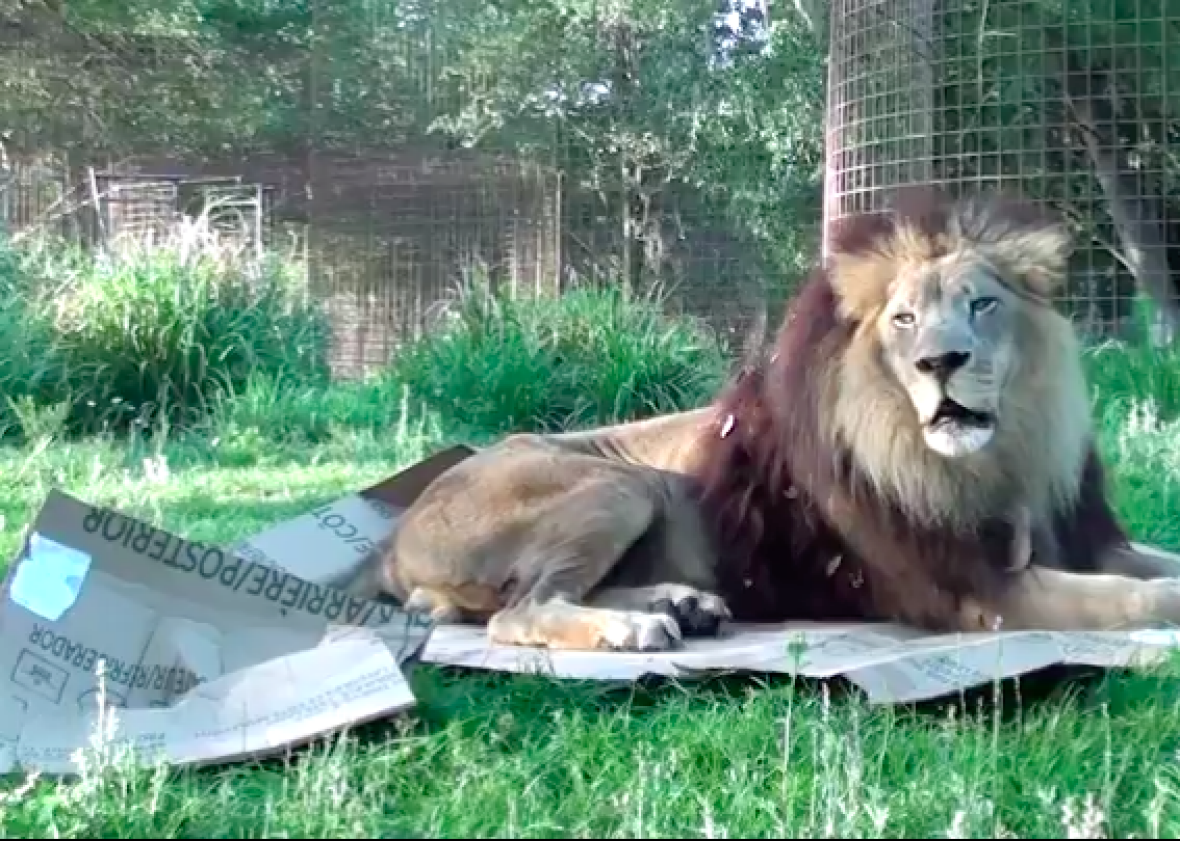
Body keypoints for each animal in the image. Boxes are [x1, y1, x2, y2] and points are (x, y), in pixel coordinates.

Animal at [337, 186, 1180, 652]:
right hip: (616, 484)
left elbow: (1155, 566)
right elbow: (1139, 597)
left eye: (982, 303)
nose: (941, 362)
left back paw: (679, 603)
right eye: (904, 319)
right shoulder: (980, 591)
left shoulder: (1086, 538)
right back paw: (634, 626)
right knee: (520, 610)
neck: (1003, 452)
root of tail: (394, 534)